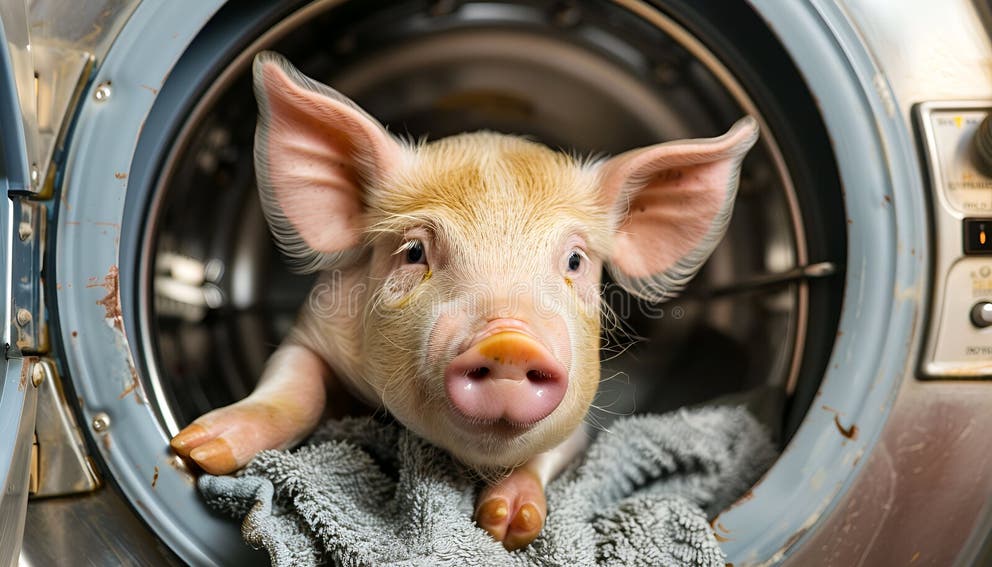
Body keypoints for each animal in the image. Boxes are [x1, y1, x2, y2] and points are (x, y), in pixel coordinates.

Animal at [170, 51, 758, 550]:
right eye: (414, 252)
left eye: (574, 261)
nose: (509, 343)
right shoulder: (314, 330)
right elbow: (296, 392)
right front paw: (199, 451)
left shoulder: (583, 418)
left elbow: (554, 452)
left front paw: (506, 526)